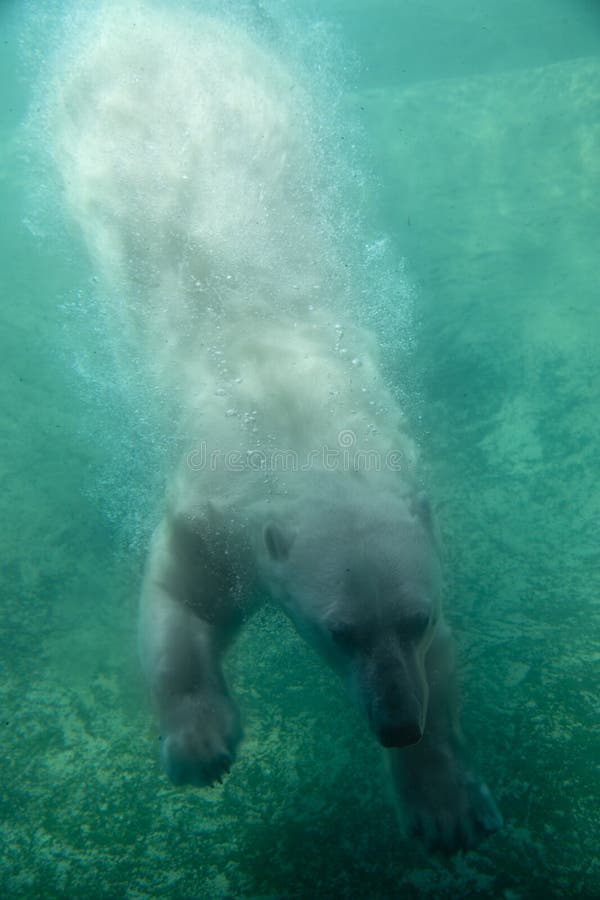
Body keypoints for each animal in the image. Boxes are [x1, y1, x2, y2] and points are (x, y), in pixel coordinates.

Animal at [48, 1, 502, 853]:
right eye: (339, 631)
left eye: (415, 617)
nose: (396, 723)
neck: (307, 440)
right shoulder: (215, 513)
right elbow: (179, 598)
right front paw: (201, 742)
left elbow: (444, 667)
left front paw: (444, 804)